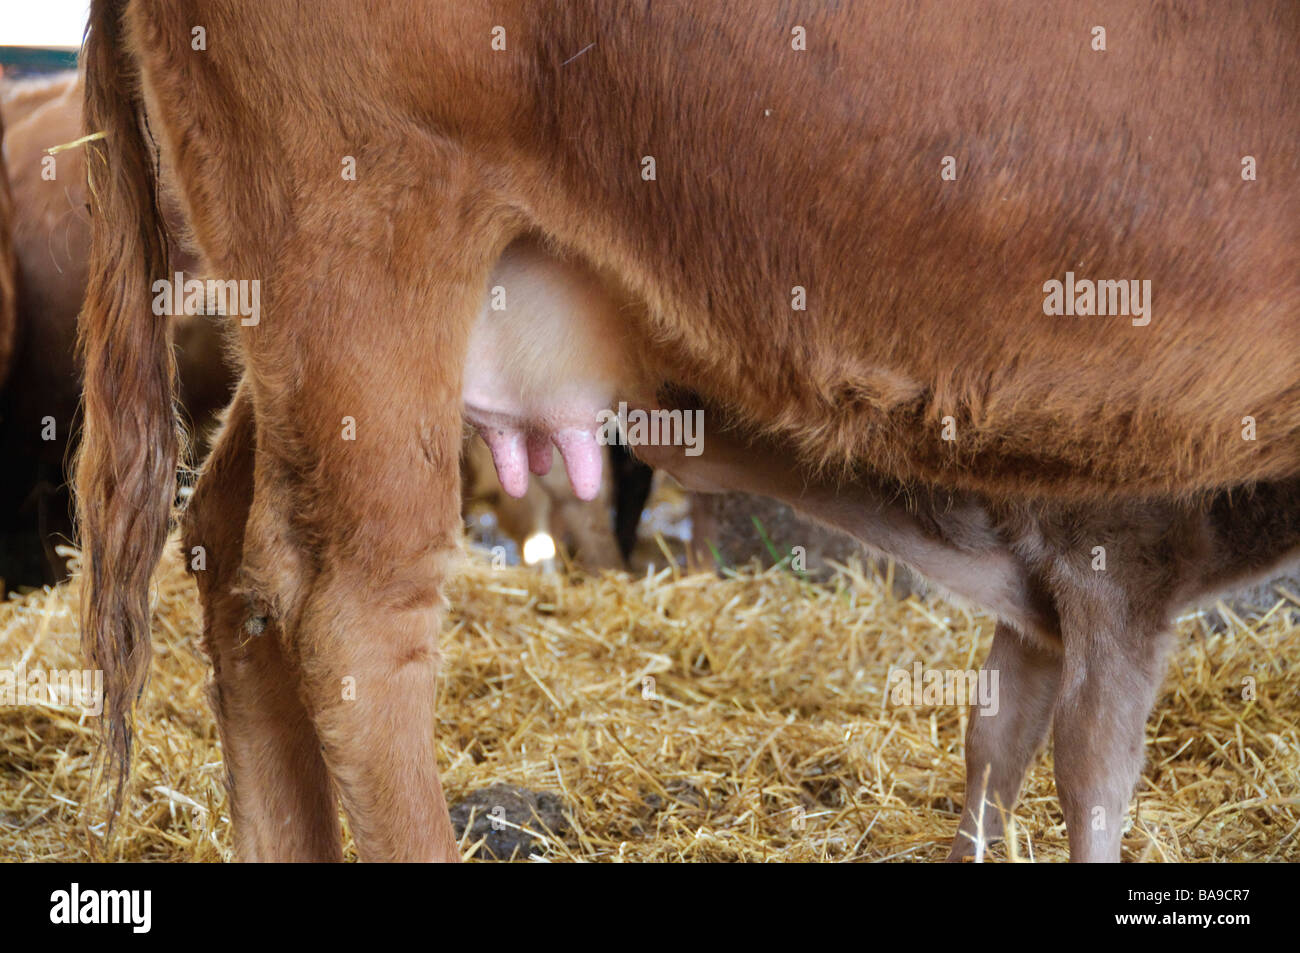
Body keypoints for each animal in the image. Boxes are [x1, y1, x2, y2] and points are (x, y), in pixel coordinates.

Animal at [76, 0, 1298, 862]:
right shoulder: (1115, 580)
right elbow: (1091, 777)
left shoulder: (1053, 601)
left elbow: (998, 749)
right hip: (365, 222)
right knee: (350, 608)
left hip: (292, 326)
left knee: (225, 540)